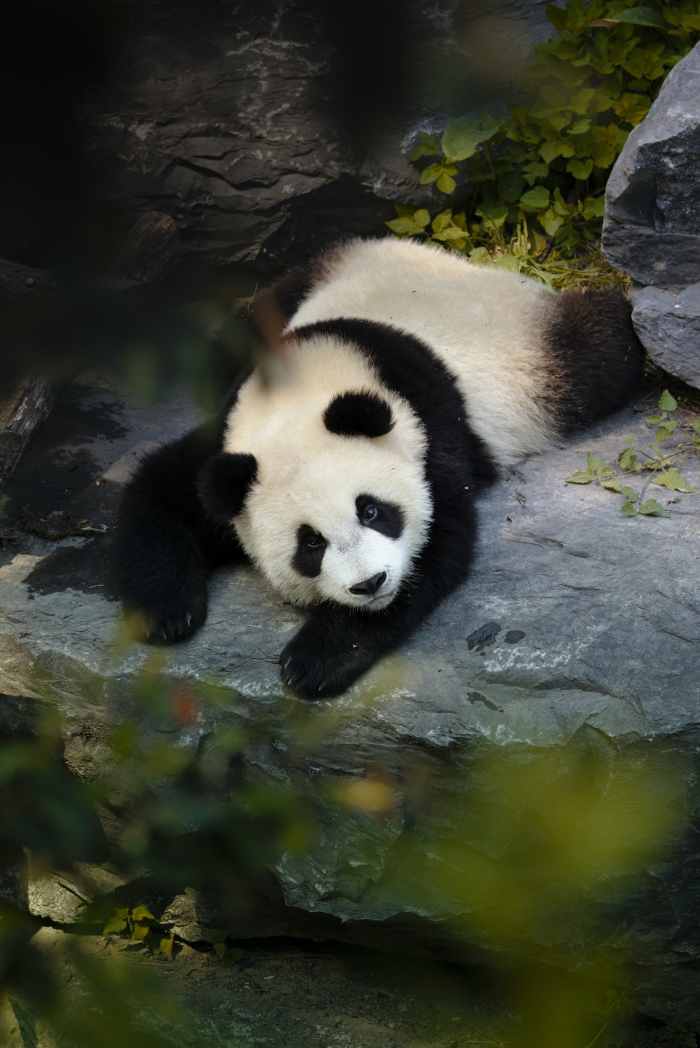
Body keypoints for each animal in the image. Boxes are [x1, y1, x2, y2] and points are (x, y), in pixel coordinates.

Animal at [112, 236, 643, 699]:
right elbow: (163, 489)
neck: (309, 387)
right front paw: (165, 611)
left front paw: (315, 659)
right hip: (311, 275)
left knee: (603, 345)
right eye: (310, 543)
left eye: (371, 511)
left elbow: (439, 543)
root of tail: (462, 264)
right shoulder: (231, 440)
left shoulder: (429, 433)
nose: (370, 584)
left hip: (540, 358)